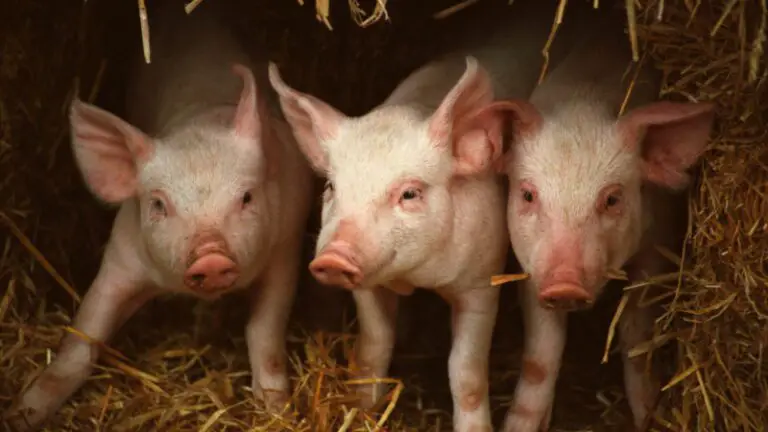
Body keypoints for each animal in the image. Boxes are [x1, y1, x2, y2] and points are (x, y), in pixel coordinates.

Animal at [5, 3, 313, 430]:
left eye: (247, 197)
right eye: (158, 205)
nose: (210, 255)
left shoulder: (285, 250)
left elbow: (263, 334)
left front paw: (277, 410)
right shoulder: (122, 254)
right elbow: (81, 340)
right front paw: (22, 414)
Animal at [265, 1, 583, 430]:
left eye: (410, 193)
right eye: (331, 187)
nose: (332, 257)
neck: (418, 277)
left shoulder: (483, 282)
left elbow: (465, 372)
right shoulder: (368, 285)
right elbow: (373, 346)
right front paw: (364, 409)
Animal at [494, 7, 716, 432]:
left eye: (612, 199)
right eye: (528, 194)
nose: (564, 284)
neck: (584, 106)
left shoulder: (657, 241)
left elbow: (635, 332)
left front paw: (649, 415)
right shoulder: (531, 265)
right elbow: (541, 354)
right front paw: (520, 424)